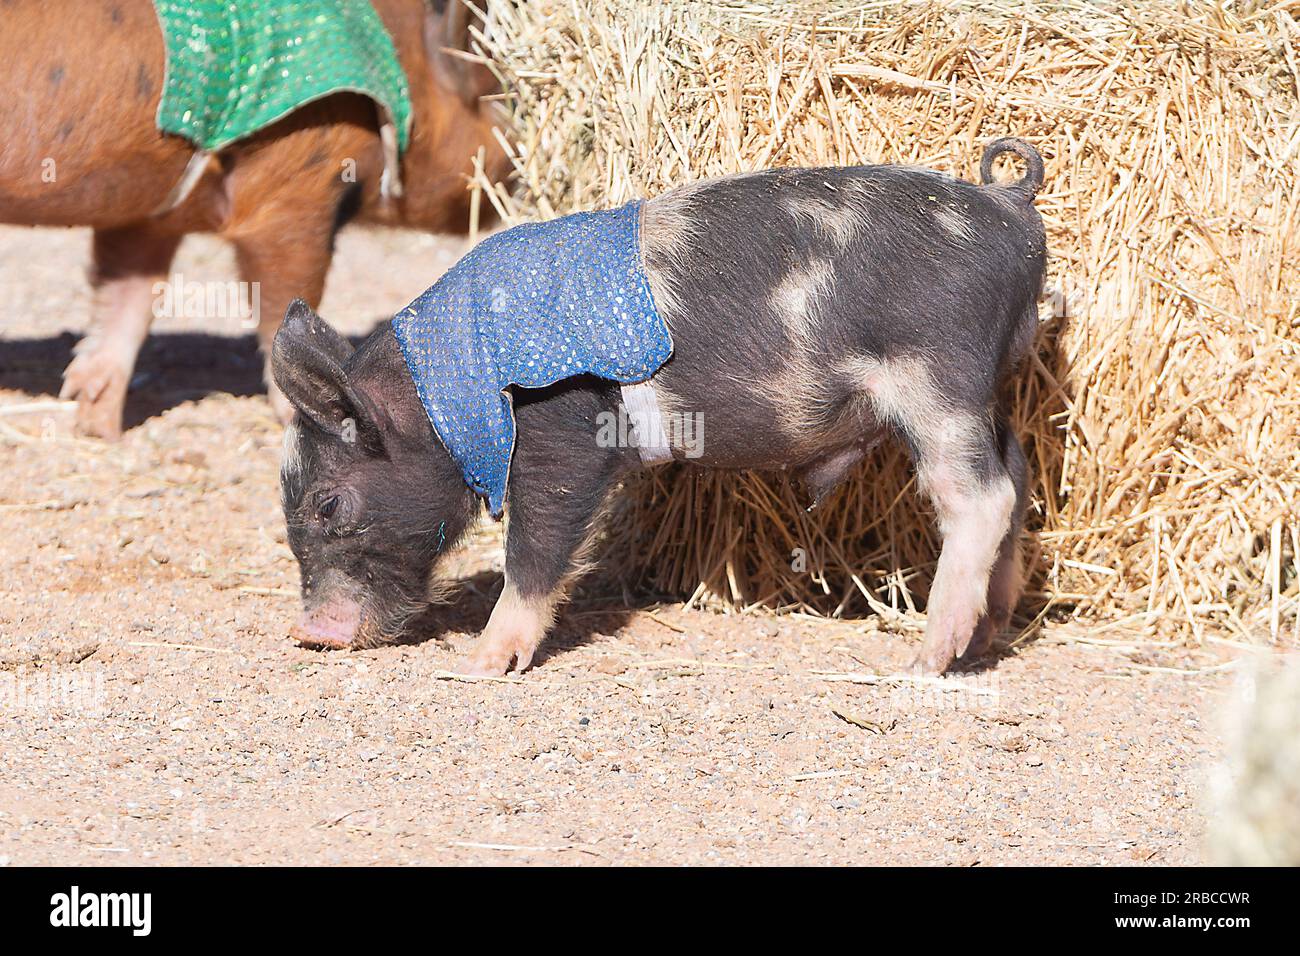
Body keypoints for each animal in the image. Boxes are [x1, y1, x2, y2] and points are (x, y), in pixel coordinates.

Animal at [0, 0, 510, 438]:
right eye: (488, 94)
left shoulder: (146, 213)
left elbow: (128, 303)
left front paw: (99, 430)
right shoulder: (296, 190)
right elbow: (284, 303)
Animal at [273, 138, 1047, 676]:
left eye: (328, 503)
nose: (308, 632)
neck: (449, 396)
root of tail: (1011, 213)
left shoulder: (564, 428)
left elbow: (537, 546)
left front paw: (480, 664)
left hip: (939, 382)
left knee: (981, 498)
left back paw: (924, 660)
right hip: (986, 391)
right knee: (1018, 474)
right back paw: (990, 633)